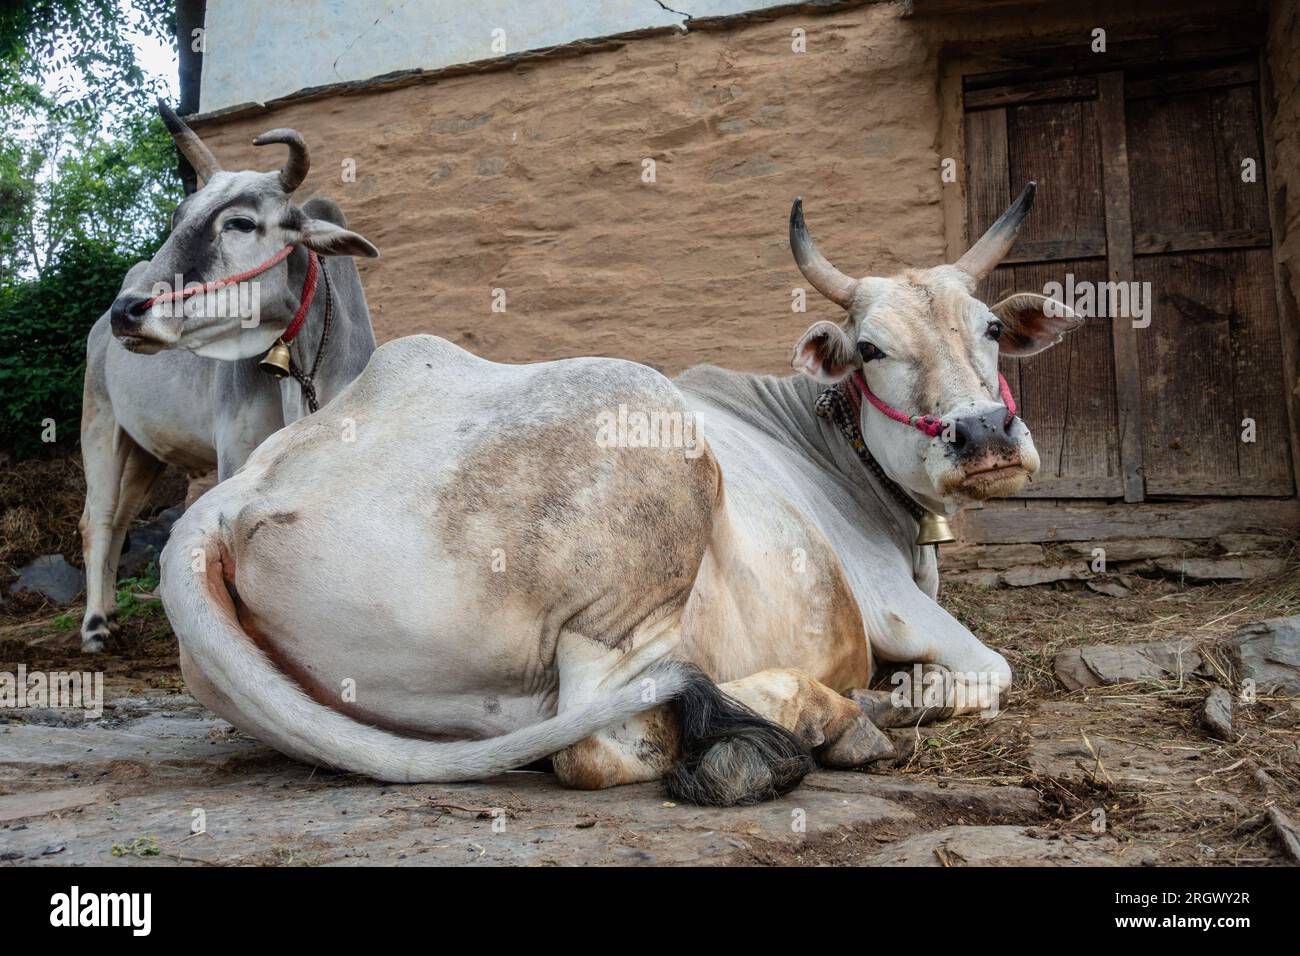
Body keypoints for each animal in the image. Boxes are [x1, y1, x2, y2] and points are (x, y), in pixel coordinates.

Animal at [77, 102, 380, 652]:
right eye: (178, 218)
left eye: (239, 223)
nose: (126, 312)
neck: (305, 371)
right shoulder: (236, 457)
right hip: (100, 423)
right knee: (99, 519)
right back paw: (93, 626)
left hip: (145, 451)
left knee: (123, 518)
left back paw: (109, 613)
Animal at [157, 183, 1079, 806]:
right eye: (873, 349)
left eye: (990, 329)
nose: (986, 433)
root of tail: (236, 494)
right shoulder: (894, 606)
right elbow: (988, 672)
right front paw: (904, 696)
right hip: (635, 535)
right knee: (606, 738)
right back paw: (826, 720)